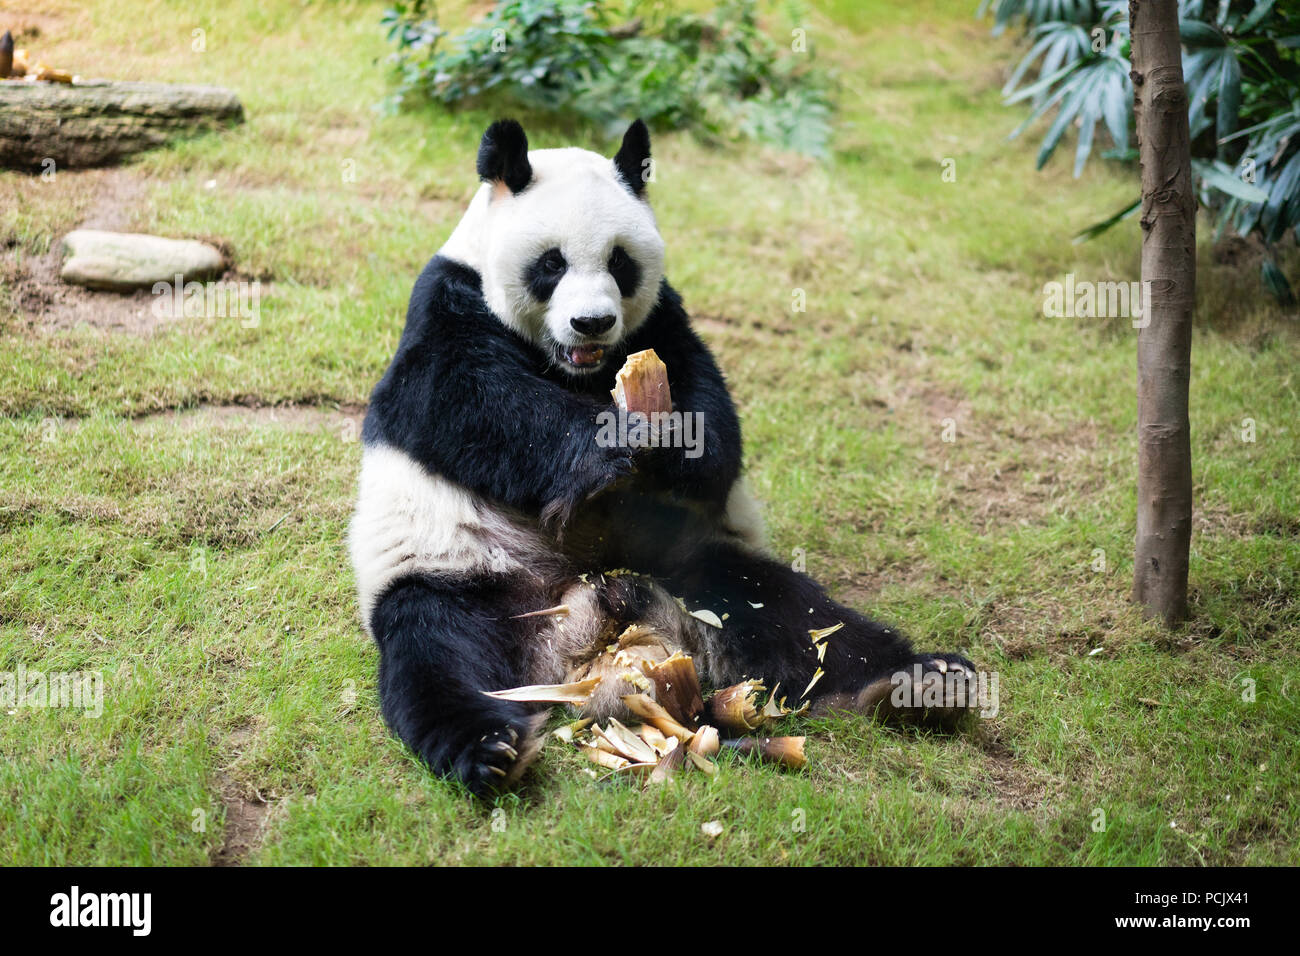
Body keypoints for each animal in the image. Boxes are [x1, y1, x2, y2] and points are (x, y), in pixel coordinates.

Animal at [349, 118, 977, 795]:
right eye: (551, 263)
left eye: (620, 262)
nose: (592, 323)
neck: (576, 371)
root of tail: (587, 630)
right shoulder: (449, 302)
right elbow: (462, 398)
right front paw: (608, 455)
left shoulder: (661, 318)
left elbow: (708, 399)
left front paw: (673, 449)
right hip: (466, 577)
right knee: (439, 652)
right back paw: (487, 748)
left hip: (696, 565)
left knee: (802, 618)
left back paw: (921, 684)